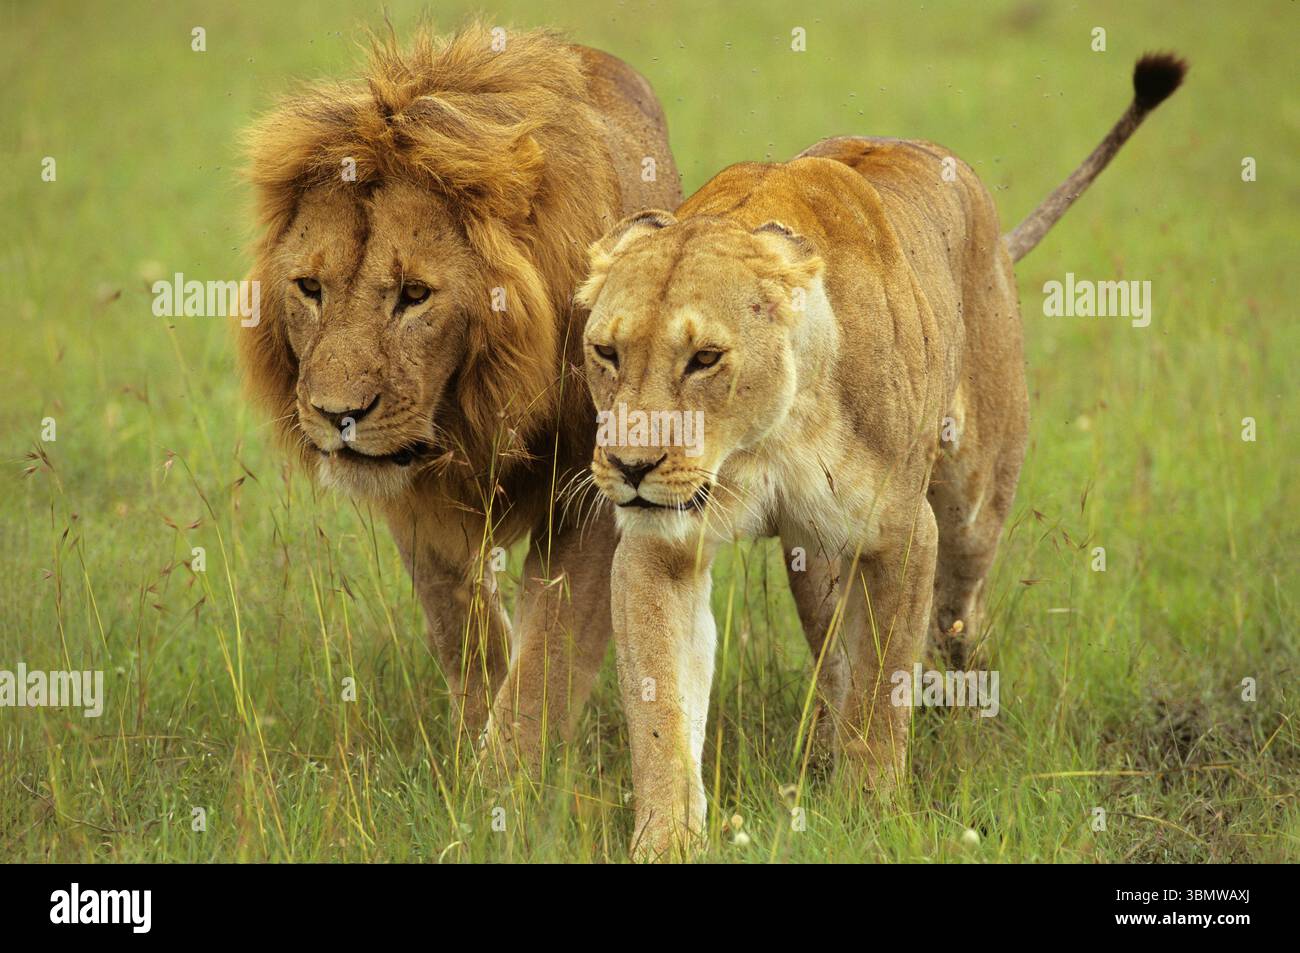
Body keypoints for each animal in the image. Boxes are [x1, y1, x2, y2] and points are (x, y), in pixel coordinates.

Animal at [237, 23, 681, 772]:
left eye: (415, 294)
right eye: (309, 287)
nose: (335, 415)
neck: (484, 402)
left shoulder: (597, 490)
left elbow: (551, 644)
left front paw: (506, 779)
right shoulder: (415, 501)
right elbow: (461, 628)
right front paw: (471, 751)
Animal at [576, 54, 1186, 859]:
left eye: (705, 358)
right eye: (606, 352)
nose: (631, 467)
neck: (760, 440)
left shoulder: (902, 533)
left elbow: (883, 686)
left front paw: (867, 814)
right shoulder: (662, 544)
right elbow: (662, 711)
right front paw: (667, 838)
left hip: (972, 506)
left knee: (959, 617)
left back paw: (961, 712)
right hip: (813, 556)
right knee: (834, 651)